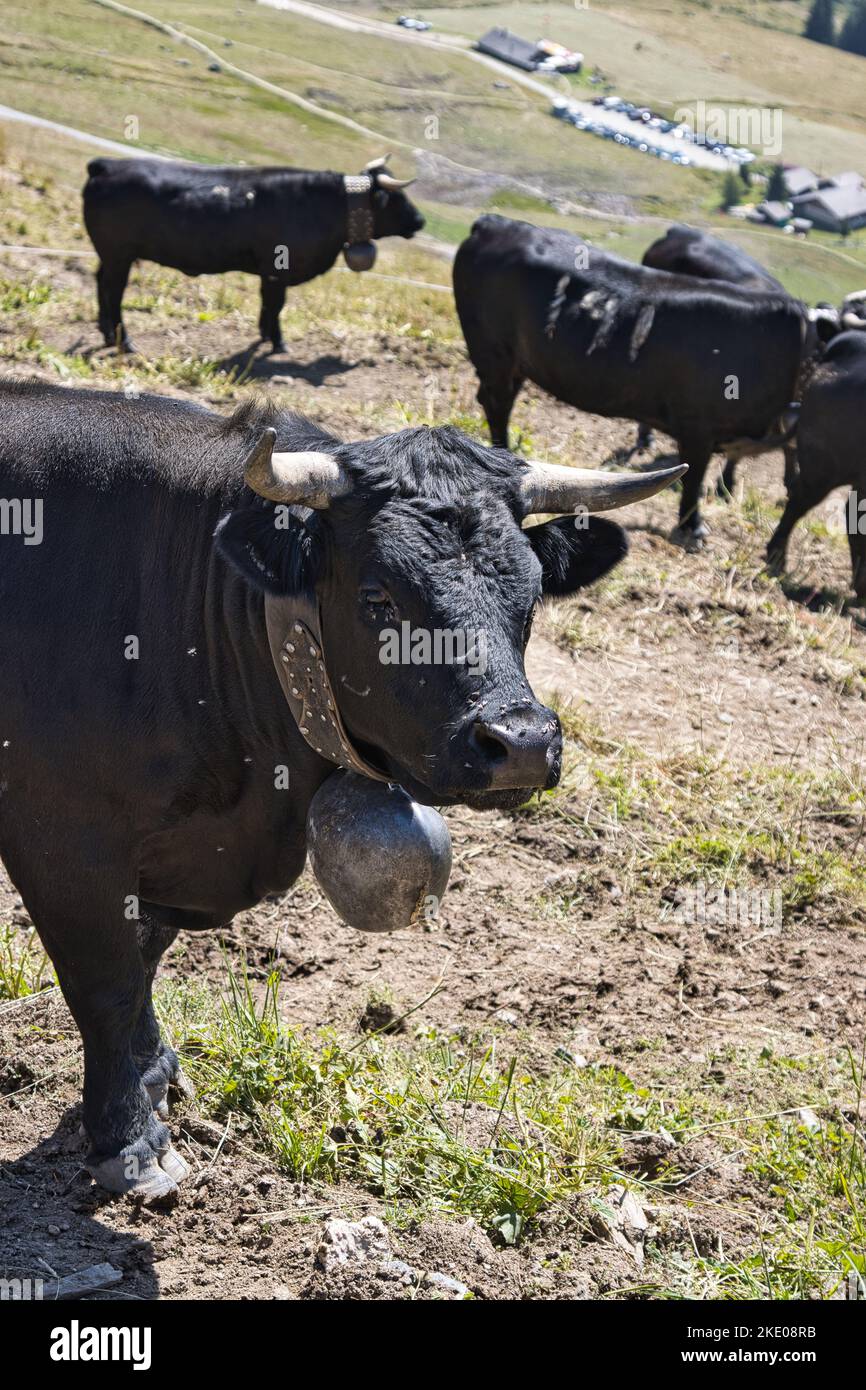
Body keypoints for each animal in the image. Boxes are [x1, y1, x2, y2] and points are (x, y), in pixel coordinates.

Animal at [0, 378, 682, 1198]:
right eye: (379, 596)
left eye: (533, 595)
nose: (521, 745)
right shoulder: (64, 840)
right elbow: (107, 984)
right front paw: (128, 1142)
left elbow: (146, 956)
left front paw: (153, 1071)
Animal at [82, 155, 424, 354]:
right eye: (397, 198)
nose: (420, 220)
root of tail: (107, 164)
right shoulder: (277, 270)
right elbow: (276, 305)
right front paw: (278, 343)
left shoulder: (268, 271)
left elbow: (266, 303)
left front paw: (264, 335)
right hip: (119, 254)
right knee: (114, 291)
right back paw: (123, 341)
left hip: (111, 255)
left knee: (100, 282)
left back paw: (105, 332)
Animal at [453, 214, 808, 546]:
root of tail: (495, 222)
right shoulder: (698, 428)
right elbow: (693, 480)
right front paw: (692, 529)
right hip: (492, 351)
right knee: (496, 402)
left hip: (514, 361)